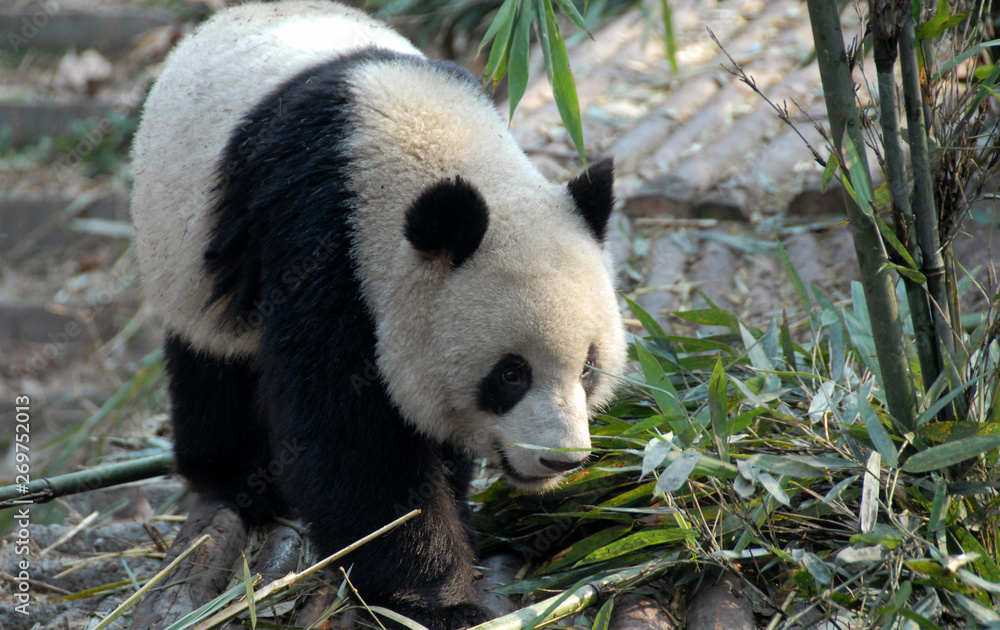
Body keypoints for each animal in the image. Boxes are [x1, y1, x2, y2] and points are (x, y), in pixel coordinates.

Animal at [130, 1, 628, 628]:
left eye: (587, 367)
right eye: (511, 373)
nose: (559, 459)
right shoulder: (322, 248)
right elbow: (348, 437)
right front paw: (437, 598)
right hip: (181, 242)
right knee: (212, 360)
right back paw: (235, 476)